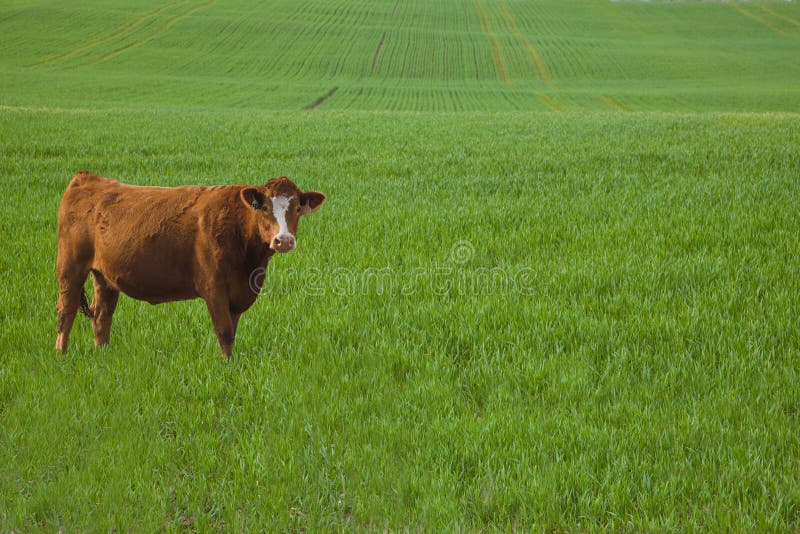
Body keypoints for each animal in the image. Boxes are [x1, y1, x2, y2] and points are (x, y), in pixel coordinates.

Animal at [55, 171, 326, 357]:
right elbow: (225, 332)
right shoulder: (213, 287)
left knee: (102, 315)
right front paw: (227, 367)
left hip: (105, 276)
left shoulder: (238, 294)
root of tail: (87, 178)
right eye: (264, 207)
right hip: (70, 268)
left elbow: (232, 331)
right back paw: (61, 354)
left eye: (297, 208)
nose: (284, 240)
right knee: (66, 312)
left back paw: (103, 354)